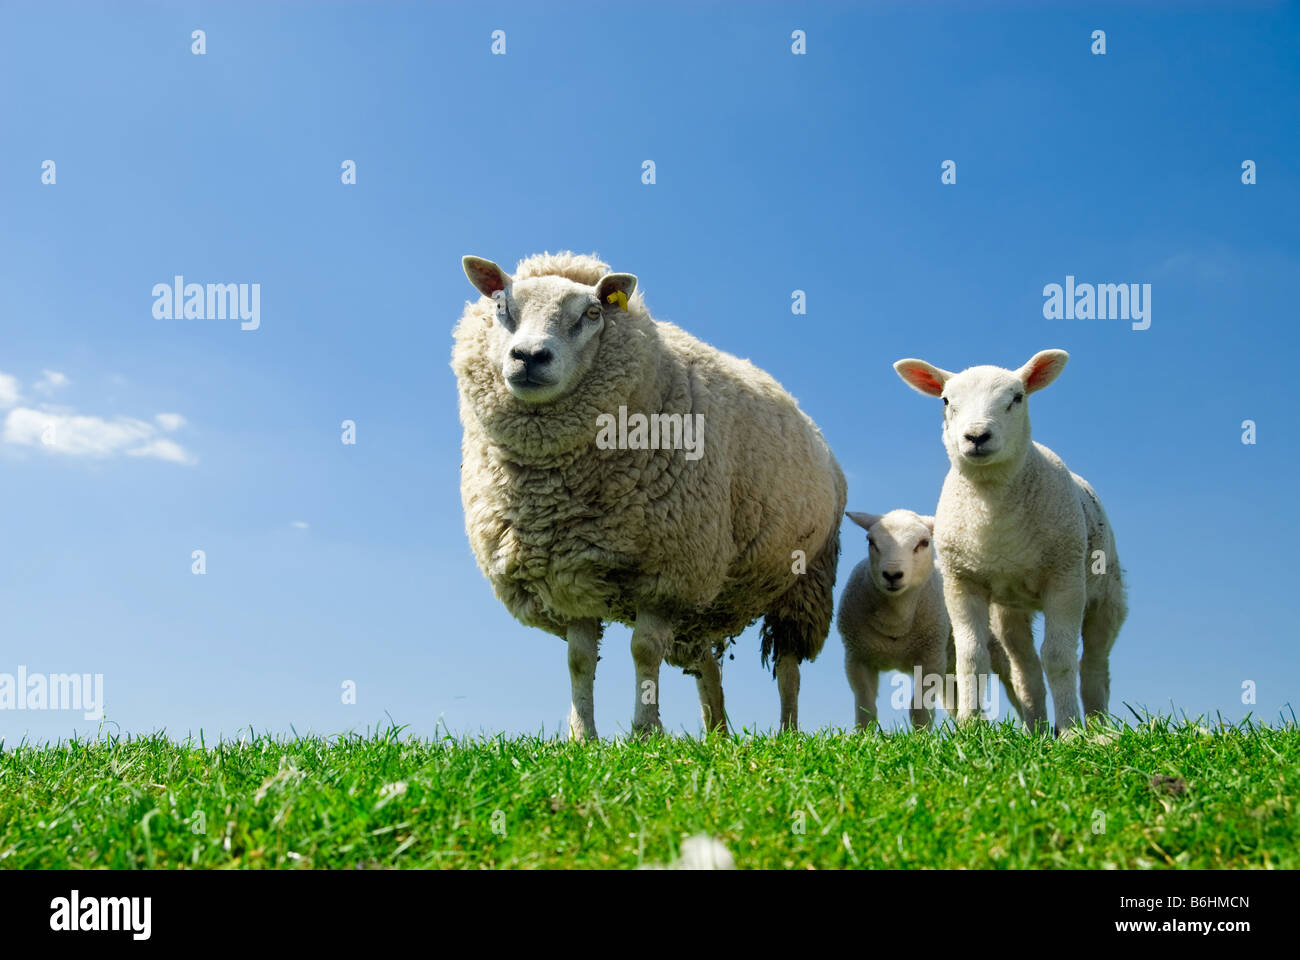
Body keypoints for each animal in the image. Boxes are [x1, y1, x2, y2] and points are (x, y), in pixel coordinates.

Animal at [452, 251, 847, 739]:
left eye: (592, 313)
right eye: (501, 307)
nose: (528, 357)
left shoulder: (670, 572)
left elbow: (644, 651)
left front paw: (644, 731)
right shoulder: (569, 575)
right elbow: (579, 661)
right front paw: (583, 736)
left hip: (804, 580)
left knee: (789, 666)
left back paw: (787, 731)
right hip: (707, 603)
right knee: (705, 667)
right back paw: (717, 733)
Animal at [893, 349, 1127, 733]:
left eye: (1017, 398)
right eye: (946, 401)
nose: (976, 436)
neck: (994, 521)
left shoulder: (1065, 578)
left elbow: (1059, 657)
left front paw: (1070, 730)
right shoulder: (962, 582)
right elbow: (972, 658)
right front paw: (970, 727)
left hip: (1106, 596)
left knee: (1095, 664)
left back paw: (1096, 725)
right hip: (1010, 611)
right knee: (1024, 668)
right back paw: (1036, 728)